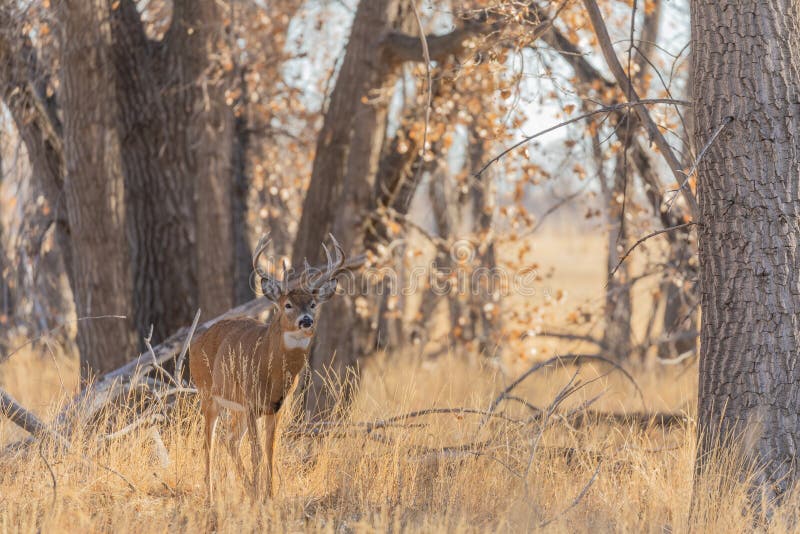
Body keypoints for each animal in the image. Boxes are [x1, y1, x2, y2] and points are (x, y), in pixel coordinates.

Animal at [189, 234, 349, 501]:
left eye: (313, 304)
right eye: (287, 305)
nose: (306, 321)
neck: (270, 371)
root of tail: (196, 340)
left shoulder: (276, 407)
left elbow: (270, 450)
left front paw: (269, 495)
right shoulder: (251, 402)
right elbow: (256, 452)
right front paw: (259, 496)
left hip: (235, 408)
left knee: (230, 440)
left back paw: (246, 487)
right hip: (207, 392)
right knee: (209, 441)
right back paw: (211, 494)